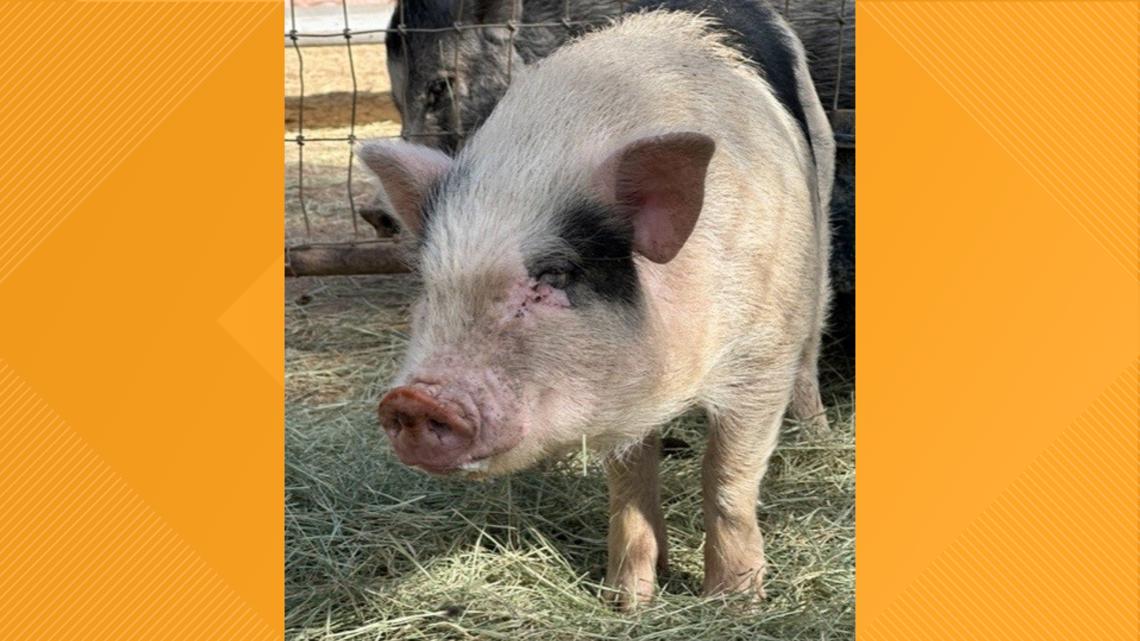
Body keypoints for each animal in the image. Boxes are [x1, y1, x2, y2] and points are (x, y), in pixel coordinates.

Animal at [361, 9, 832, 607]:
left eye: (557, 275)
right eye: (428, 283)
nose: (413, 399)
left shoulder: (761, 354)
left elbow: (726, 478)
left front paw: (733, 605)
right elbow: (629, 482)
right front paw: (626, 601)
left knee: (811, 349)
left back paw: (818, 434)